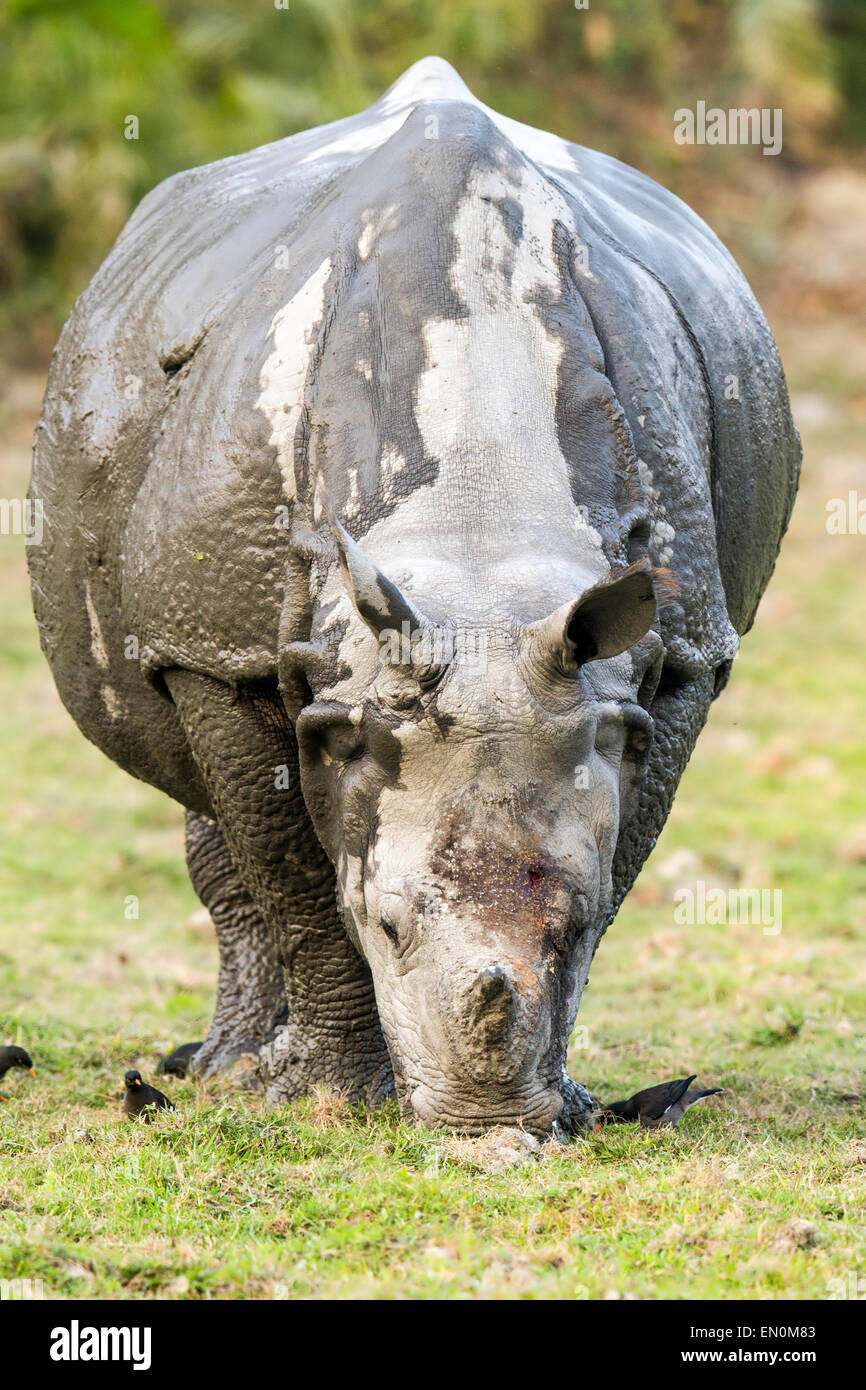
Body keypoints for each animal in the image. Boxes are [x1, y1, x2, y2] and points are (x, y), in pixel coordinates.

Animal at [28, 58, 800, 1134]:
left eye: (571, 928)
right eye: (387, 925)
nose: (484, 1130)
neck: (475, 523)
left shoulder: (680, 647)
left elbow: (620, 854)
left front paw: (565, 1100)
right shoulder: (211, 644)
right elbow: (296, 880)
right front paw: (323, 1095)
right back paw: (227, 1068)